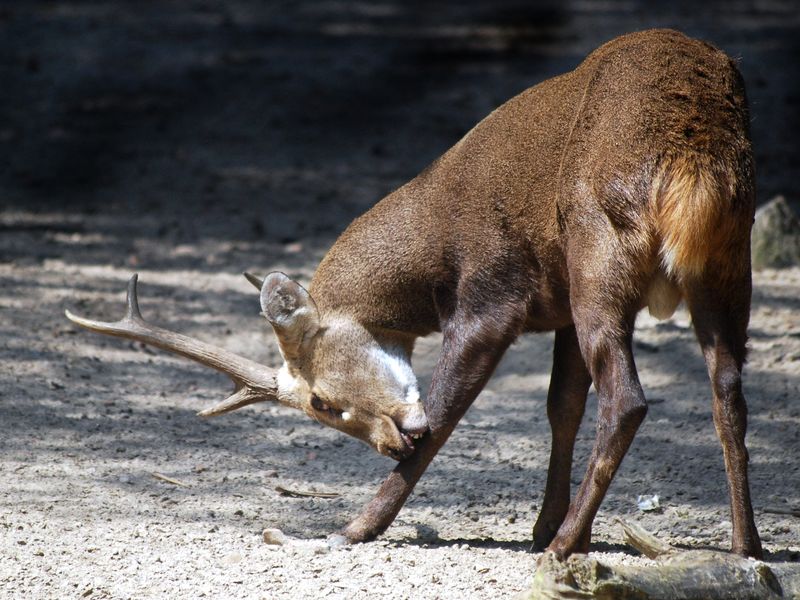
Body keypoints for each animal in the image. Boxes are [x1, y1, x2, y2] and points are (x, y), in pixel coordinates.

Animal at [66, 29, 763, 559]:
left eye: (321, 402)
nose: (388, 442)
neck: (437, 246)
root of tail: (692, 164)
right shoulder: (558, 303)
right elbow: (559, 405)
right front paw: (543, 527)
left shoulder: (493, 298)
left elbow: (446, 415)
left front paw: (349, 530)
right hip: (725, 262)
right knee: (728, 388)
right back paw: (744, 546)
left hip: (600, 255)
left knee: (628, 399)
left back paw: (566, 550)